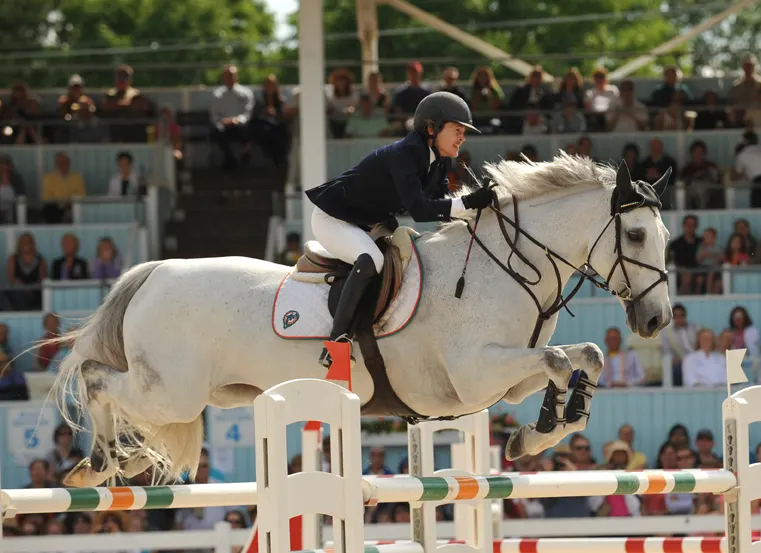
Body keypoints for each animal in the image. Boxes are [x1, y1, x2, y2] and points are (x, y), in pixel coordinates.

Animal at [49, 152, 673, 488]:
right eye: (636, 234)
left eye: (664, 235)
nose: (657, 321)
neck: (505, 265)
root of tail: (153, 271)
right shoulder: (474, 375)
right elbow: (558, 358)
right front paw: (538, 431)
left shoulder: (500, 379)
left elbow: (581, 356)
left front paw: (536, 433)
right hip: (171, 391)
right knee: (99, 380)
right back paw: (96, 463)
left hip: (203, 394)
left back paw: (117, 461)